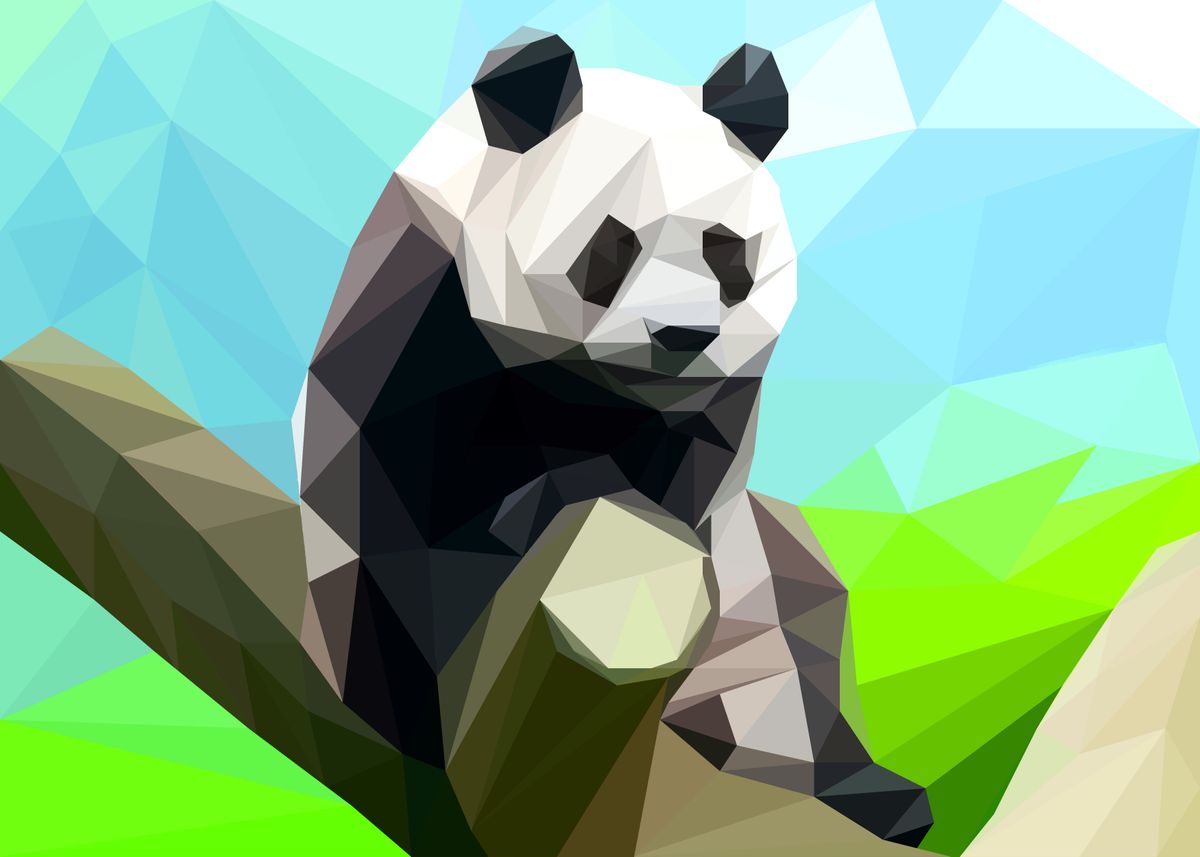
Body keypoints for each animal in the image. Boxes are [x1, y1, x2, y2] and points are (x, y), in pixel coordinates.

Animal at [293, 28, 931, 853]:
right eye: (610, 245)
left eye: (727, 253)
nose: (683, 335)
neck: (600, 387)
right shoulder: (421, 321)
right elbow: (418, 508)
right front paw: (528, 506)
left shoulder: (711, 417)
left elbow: (682, 487)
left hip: (776, 618)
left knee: (805, 694)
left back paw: (880, 796)